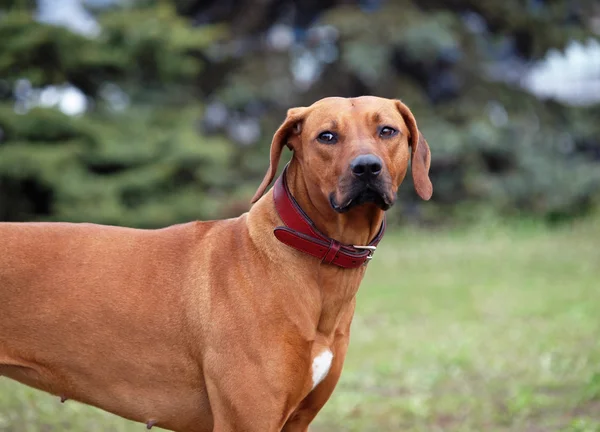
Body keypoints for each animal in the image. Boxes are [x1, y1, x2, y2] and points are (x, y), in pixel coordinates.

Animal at [0, 96, 432, 430]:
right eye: (326, 135)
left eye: (387, 131)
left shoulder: (296, 421)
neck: (309, 259)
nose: (366, 167)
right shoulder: (247, 421)